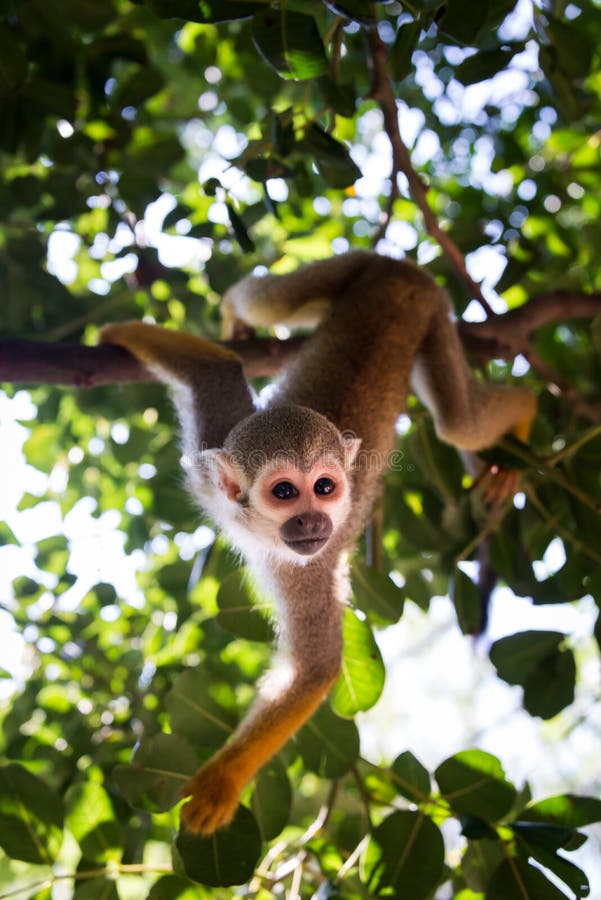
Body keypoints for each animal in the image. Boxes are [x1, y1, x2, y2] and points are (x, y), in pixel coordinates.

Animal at [99, 250, 537, 836]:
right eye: (285, 492)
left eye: (325, 488)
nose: (312, 523)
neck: (253, 525)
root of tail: (401, 269)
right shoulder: (211, 467)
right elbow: (214, 369)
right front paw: (120, 333)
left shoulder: (305, 566)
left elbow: (317, 666)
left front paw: (222, 783)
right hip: (358, 269)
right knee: (273, 303)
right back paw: (235, 307)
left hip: (431, 312)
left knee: (457, 424)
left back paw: (526, 411)